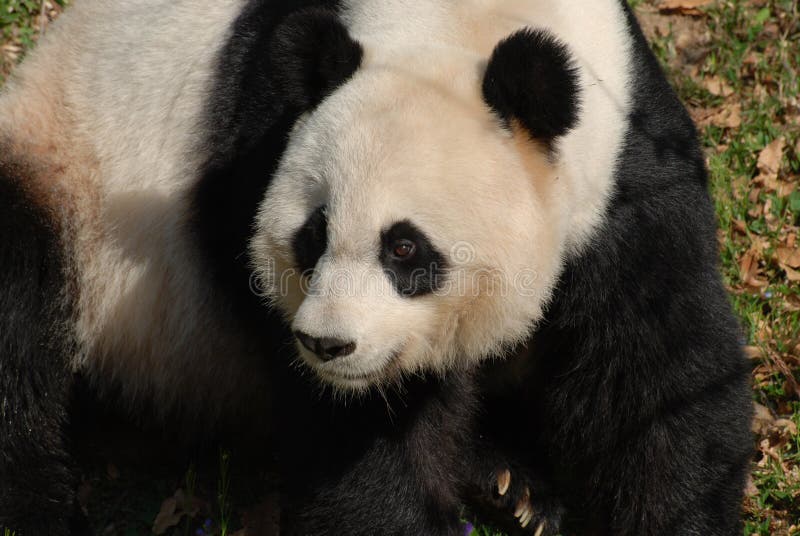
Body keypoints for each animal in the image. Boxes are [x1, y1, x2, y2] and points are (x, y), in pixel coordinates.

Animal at [0, 1, 752, 536]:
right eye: (312, 236)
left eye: (405, 249)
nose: (327, 344)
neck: (464, 25)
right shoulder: (261, 140)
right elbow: (359, 441)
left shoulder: (626, 166)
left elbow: (656, 375)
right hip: (61, 170)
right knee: (21, 313)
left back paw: (513, 486)